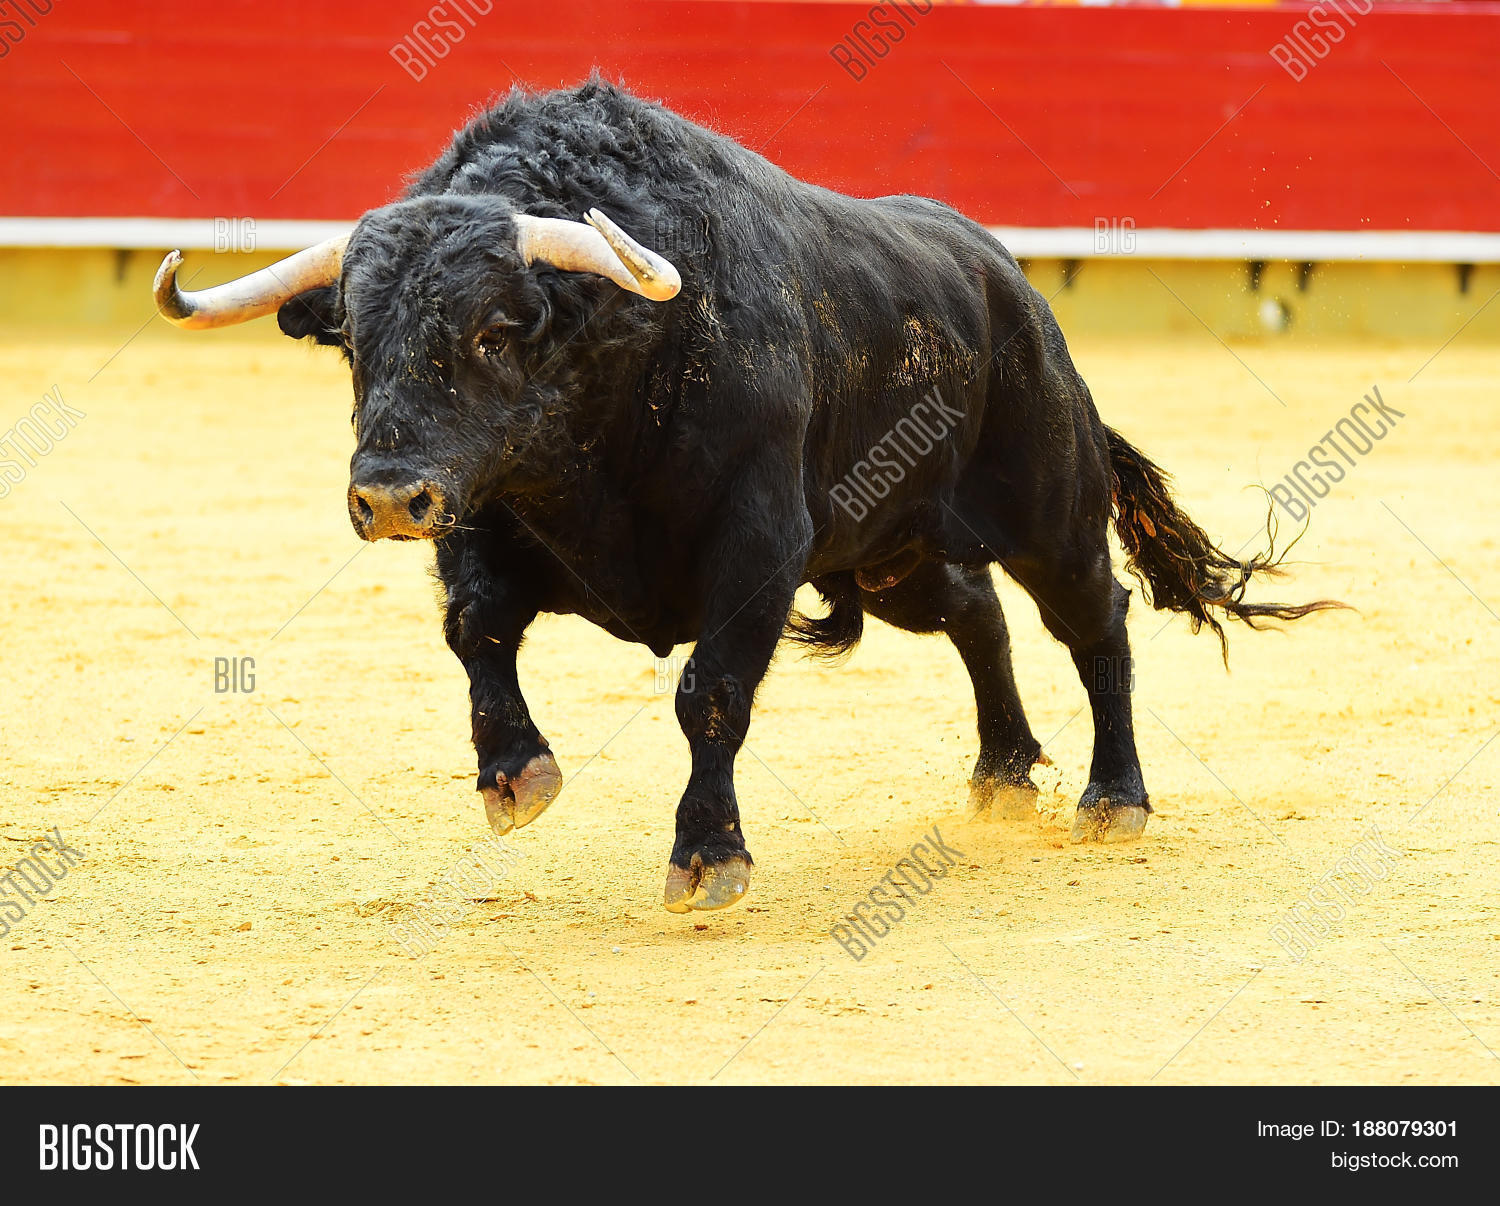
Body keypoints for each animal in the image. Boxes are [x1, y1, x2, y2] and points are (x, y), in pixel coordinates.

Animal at [152, 78, 1340, 914]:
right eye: (354, 341)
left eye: (493, 331)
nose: (389, 497)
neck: (611, 378)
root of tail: (1007, 280)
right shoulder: (483, 511)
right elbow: (475, 629)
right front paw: (515, 776)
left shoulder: (757, 548)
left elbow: (709, 694)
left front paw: (708, 855)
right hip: (891, 555)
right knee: (976, 616)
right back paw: (1002, 774)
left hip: (1050, 511)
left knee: (1095, 621)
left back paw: (1114, 799)